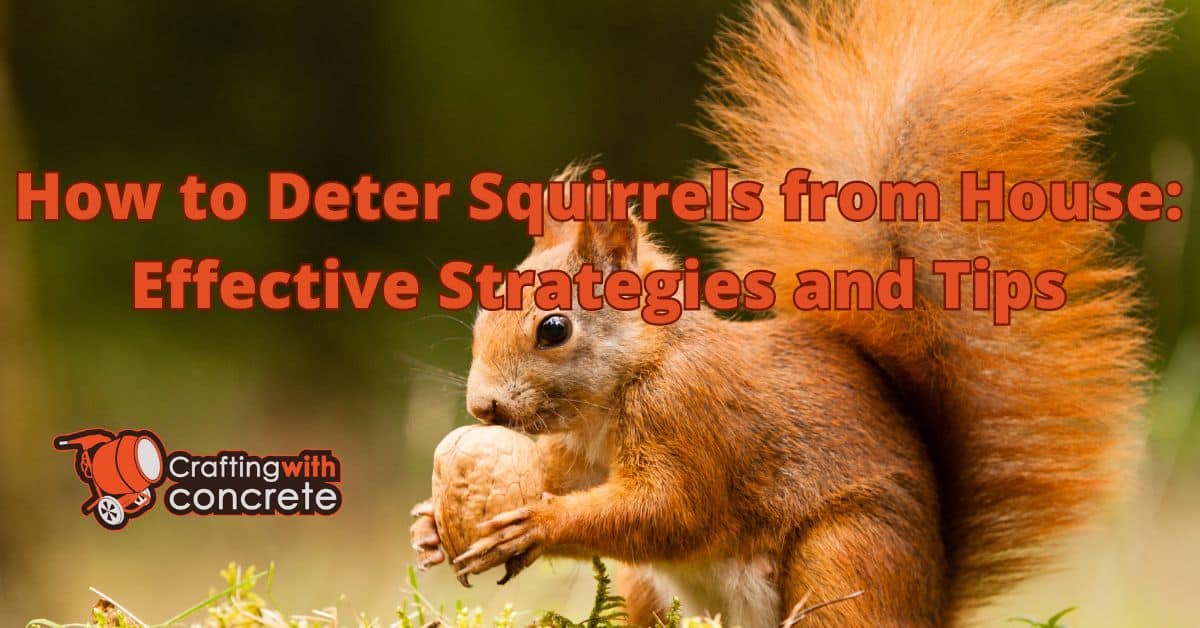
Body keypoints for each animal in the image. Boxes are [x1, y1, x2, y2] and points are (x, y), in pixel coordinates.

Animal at [410, 0, 1165, 625]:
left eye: (554, 328)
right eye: (481, 316)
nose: (481, 408)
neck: (630, 378)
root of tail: (930, 599)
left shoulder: (693, 416)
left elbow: (670, 510)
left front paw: (535, 522)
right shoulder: (581, 454)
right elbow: (569, 478)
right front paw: (429, 523)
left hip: (846, 557)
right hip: (651, 588)